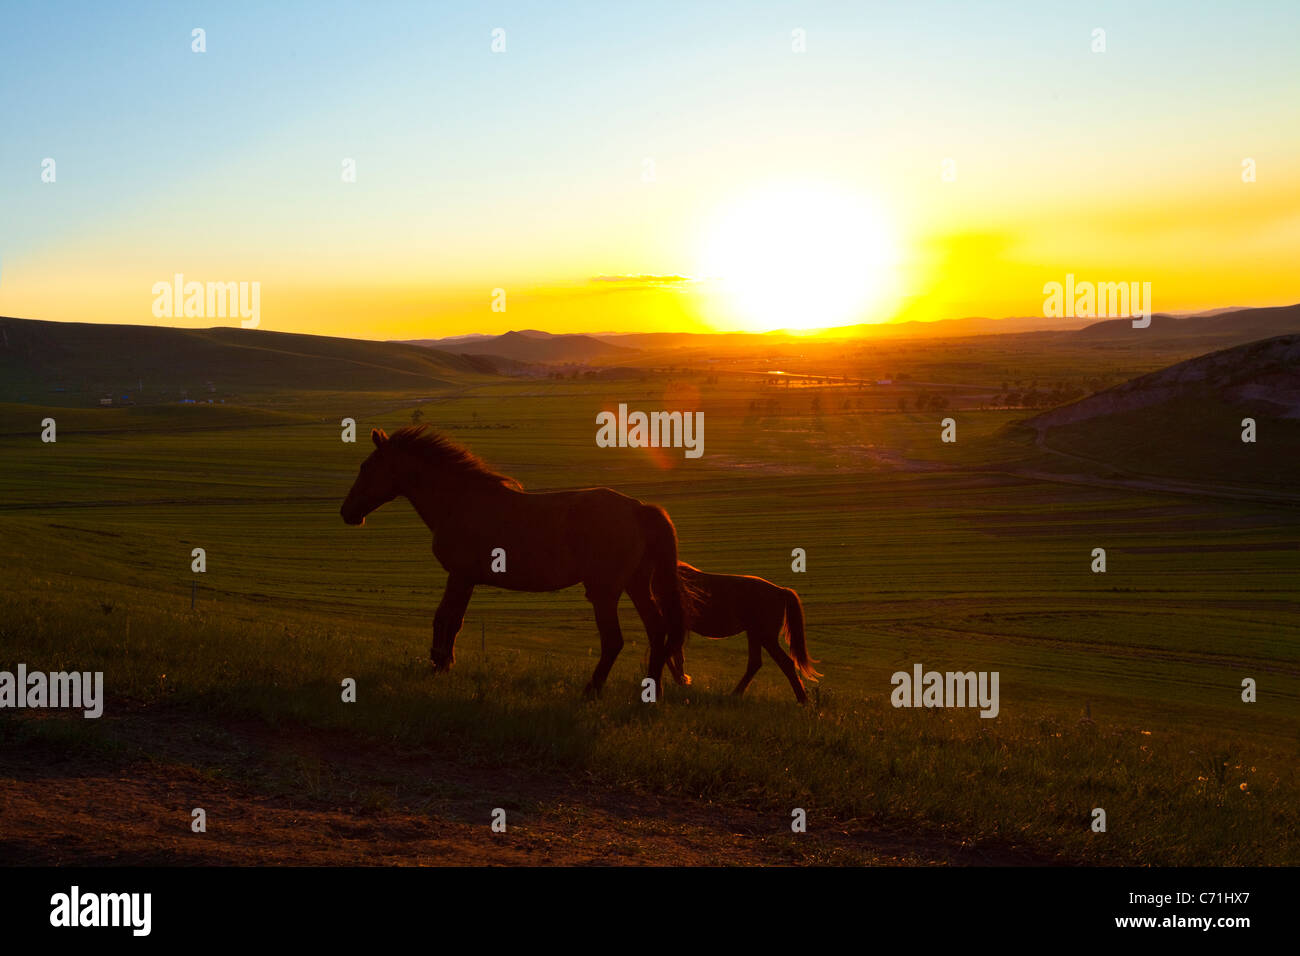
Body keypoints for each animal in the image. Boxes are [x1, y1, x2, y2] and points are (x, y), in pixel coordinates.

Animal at [339, 425, 687, 698]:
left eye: (366, 467)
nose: (347, 512)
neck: (457, 501)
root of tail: (638, 509)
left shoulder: (459, 576)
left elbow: (444, 618)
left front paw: (438, 664)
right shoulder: (467, 579)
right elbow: (455, 620)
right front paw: (445, 663)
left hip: (604, 593)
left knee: (614, 641)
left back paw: (591, 690)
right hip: (636, 585)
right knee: (657, 630)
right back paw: (652, 690)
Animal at [663, 562, 819, 703]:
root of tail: (780, 590)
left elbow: (668, 655)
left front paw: (681, 681)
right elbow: (677, 657)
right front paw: (682, 681)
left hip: (766, 636)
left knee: (785, 662)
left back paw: (802, 700)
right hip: (754, 634)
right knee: (756, 663)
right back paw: (736, 694)